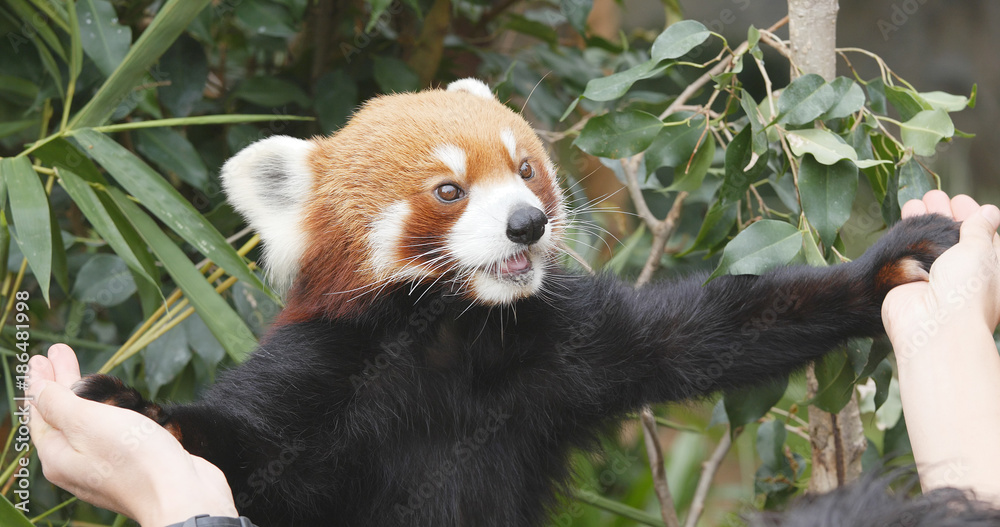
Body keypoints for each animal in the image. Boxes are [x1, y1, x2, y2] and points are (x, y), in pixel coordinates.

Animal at [77, 78, 959, 526]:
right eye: (449, 189)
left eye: (525, 168)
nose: (528, 222)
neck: (453, 334)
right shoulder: (320, 366)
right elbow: (243, 456)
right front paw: (142, 417)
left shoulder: (565, 350)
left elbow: (701, 333)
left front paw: (883, 270)